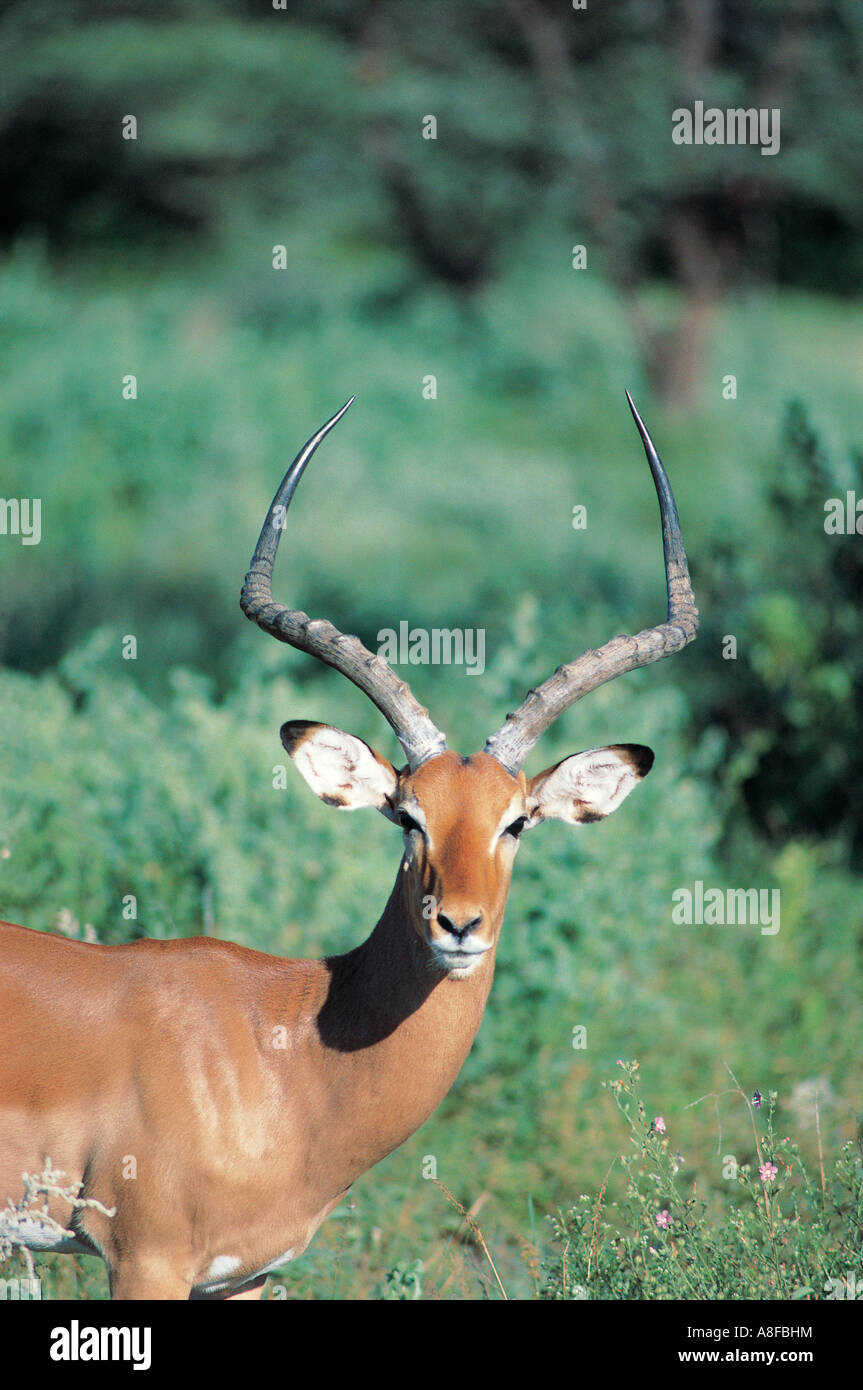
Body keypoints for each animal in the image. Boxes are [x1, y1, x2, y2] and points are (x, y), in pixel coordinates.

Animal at [0, 393, 697, 1300]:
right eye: (407, 816)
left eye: (515, 821)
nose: (459, 926)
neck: (289, 1049)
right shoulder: (144, 1259)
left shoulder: (243, 1274)